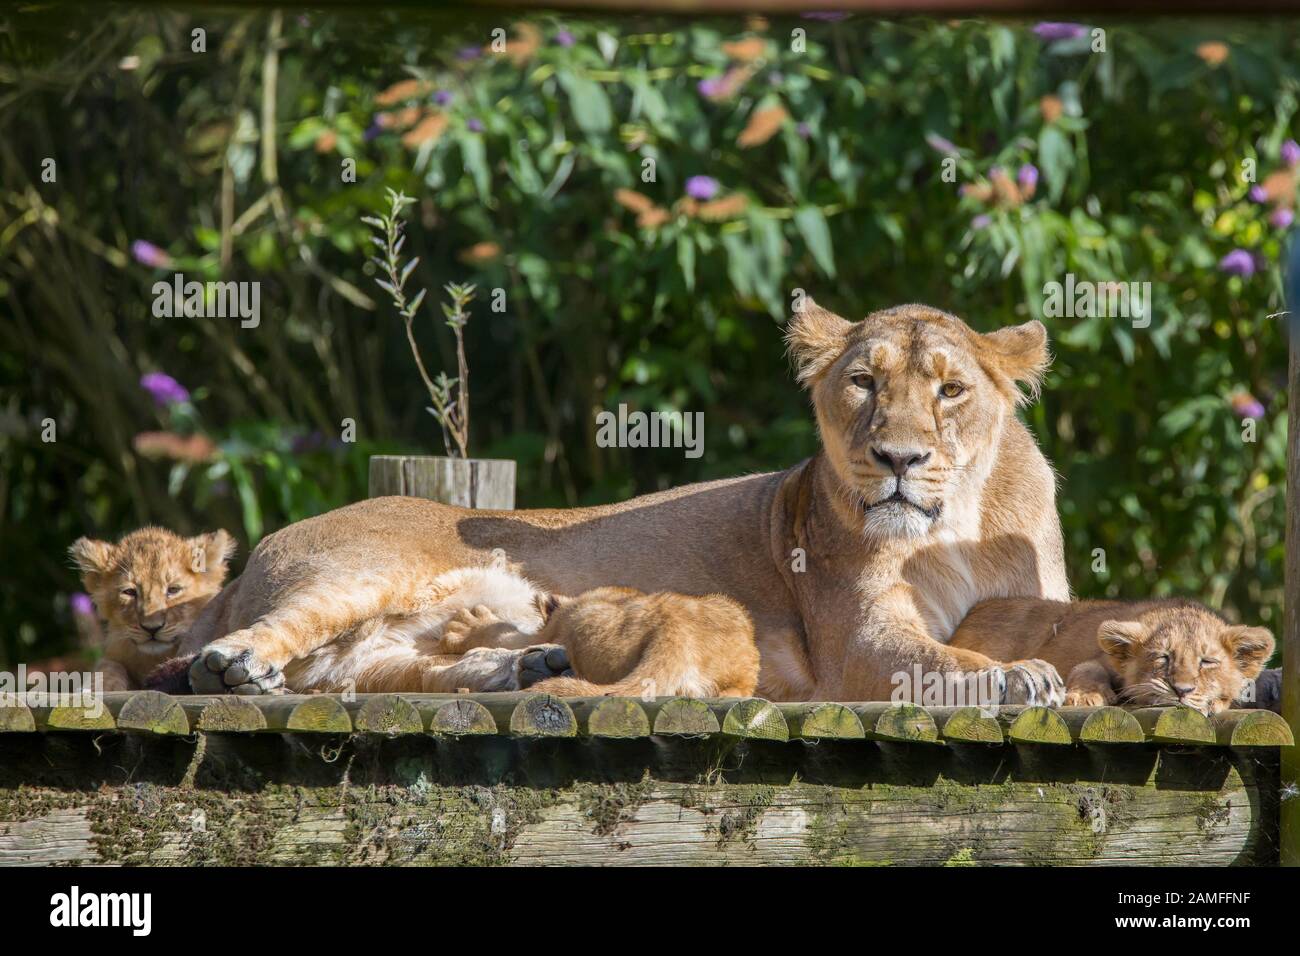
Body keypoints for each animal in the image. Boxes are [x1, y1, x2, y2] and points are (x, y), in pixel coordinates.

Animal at [182, 301, 1070, 704]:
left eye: (951, 390)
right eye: (863, 382)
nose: (897, 458)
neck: (953, 526)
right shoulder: (857, 643)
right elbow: (939, 659)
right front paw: (1020, 675)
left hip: (391, 652)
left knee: (402, 668)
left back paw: (522, 664)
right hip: (366, 572)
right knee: (278, 629)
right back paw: (235, 666)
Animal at [949, 597, 1275, 715]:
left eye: (1207, 662)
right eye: (1163, 658)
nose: (1181, 690)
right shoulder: (1101, 655)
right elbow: (1086, 668)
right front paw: (1084, 697)